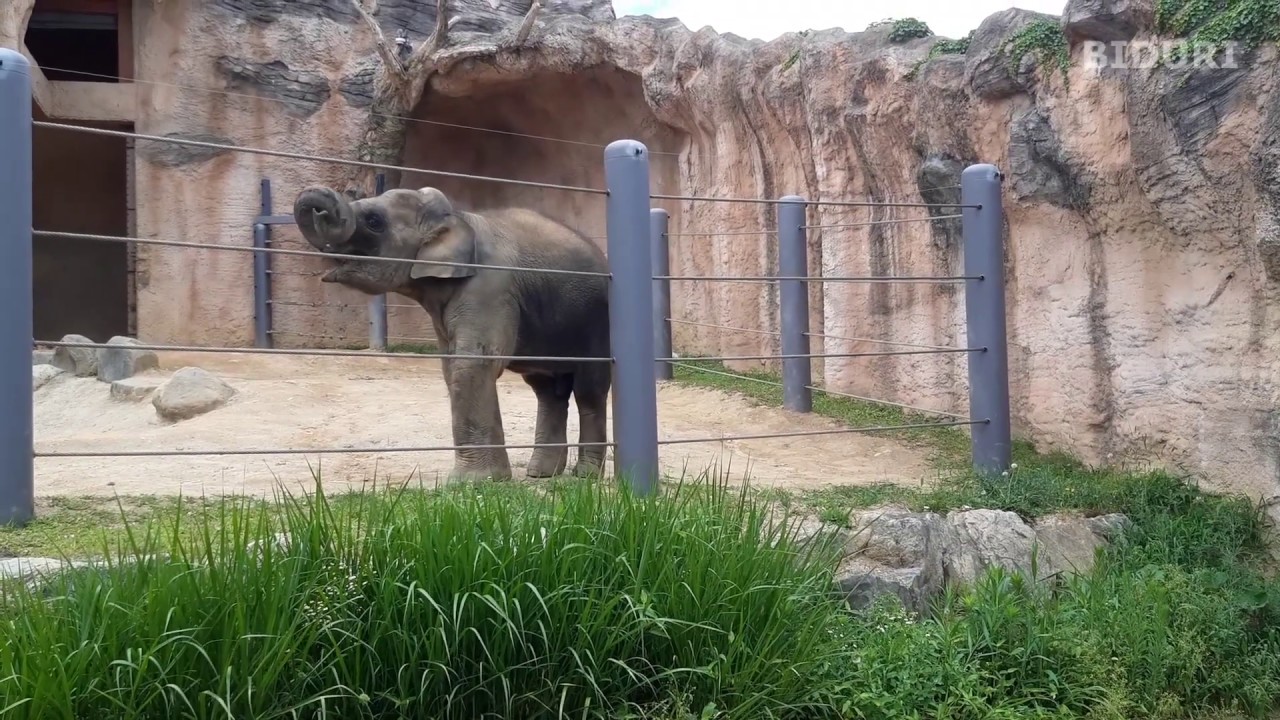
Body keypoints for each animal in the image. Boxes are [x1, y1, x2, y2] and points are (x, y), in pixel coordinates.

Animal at [291, 184, 611, 482]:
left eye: (373, 221)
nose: (319, 210)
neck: (457, 217)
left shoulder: (489, 288)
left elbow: (473, 363)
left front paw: (474, 482)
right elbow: (451, 366)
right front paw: (488, 479)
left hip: (597, 324)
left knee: (588, 390)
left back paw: (585, 476)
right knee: (547, 390)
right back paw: (541, 474)